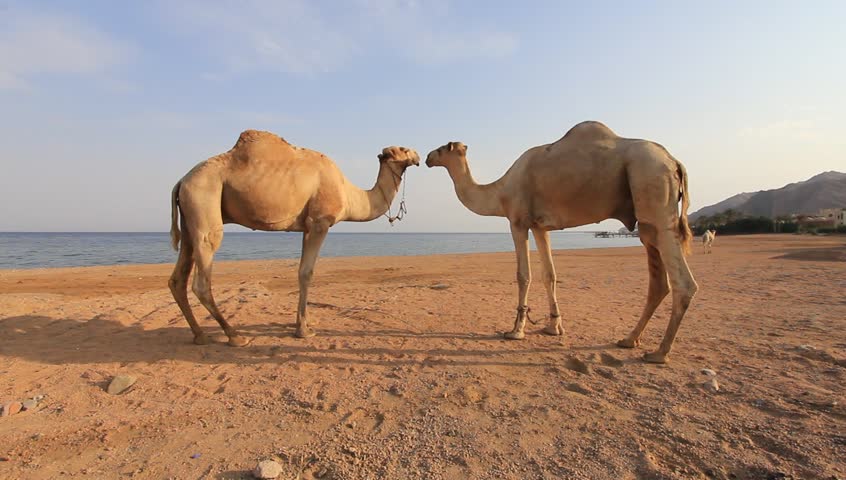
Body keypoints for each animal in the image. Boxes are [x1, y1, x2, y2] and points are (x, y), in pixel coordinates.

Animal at [169, 130, 419, 346]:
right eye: (403, 149)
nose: (417, 156)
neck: (349, 194)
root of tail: (181, 181)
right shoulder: (319, 222)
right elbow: (307, 273)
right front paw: (303, 330)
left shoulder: (307, 227)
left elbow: (301, 272)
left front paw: (302, 323)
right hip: (204, 201)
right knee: (202, 276)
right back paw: (234, 336)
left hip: (189, 218)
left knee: (178, 278)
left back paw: (200, 335)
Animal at [425, 121, 698, 363]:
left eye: (442, 147)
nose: (427, 157)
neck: (500, 191)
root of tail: (675, 161)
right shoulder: (539, 226)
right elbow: (550, 275)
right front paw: (553, 327)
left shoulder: (518, 221)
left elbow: (523, 275)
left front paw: (516, 331)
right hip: (647, 217)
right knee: (658, 281)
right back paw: (629, 340)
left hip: (651, 183)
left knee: (683, 282)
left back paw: (659, 353)